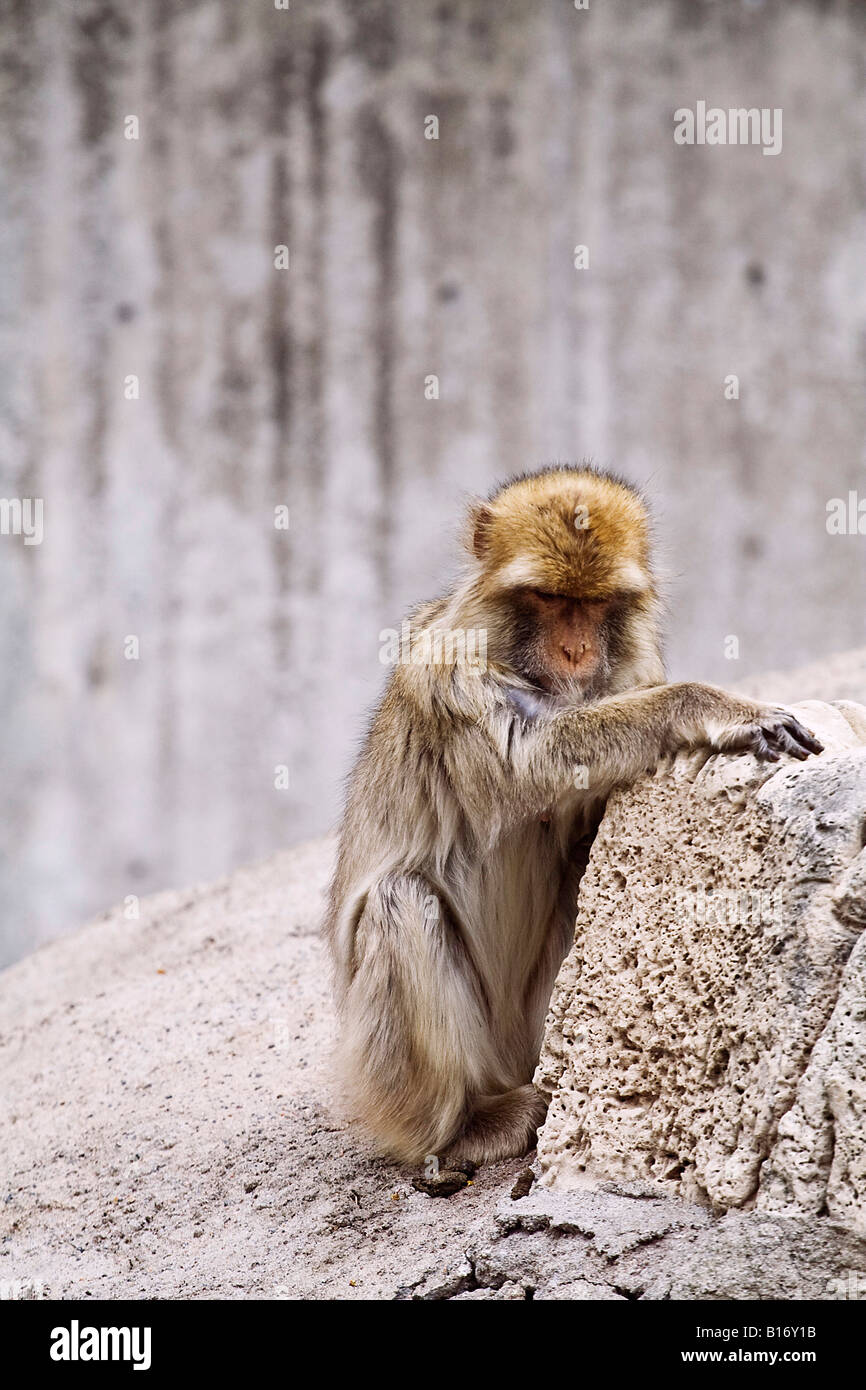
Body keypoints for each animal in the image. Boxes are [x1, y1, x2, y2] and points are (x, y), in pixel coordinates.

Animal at [323, 464, 823, 1167]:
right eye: (548, 598)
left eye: (595, 604)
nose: (575, 650)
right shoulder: (449, 669)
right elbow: (527, 761)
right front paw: (711, 705)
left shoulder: (632, 666)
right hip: (388, 1072)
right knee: (401, 901)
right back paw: (466, 1125)